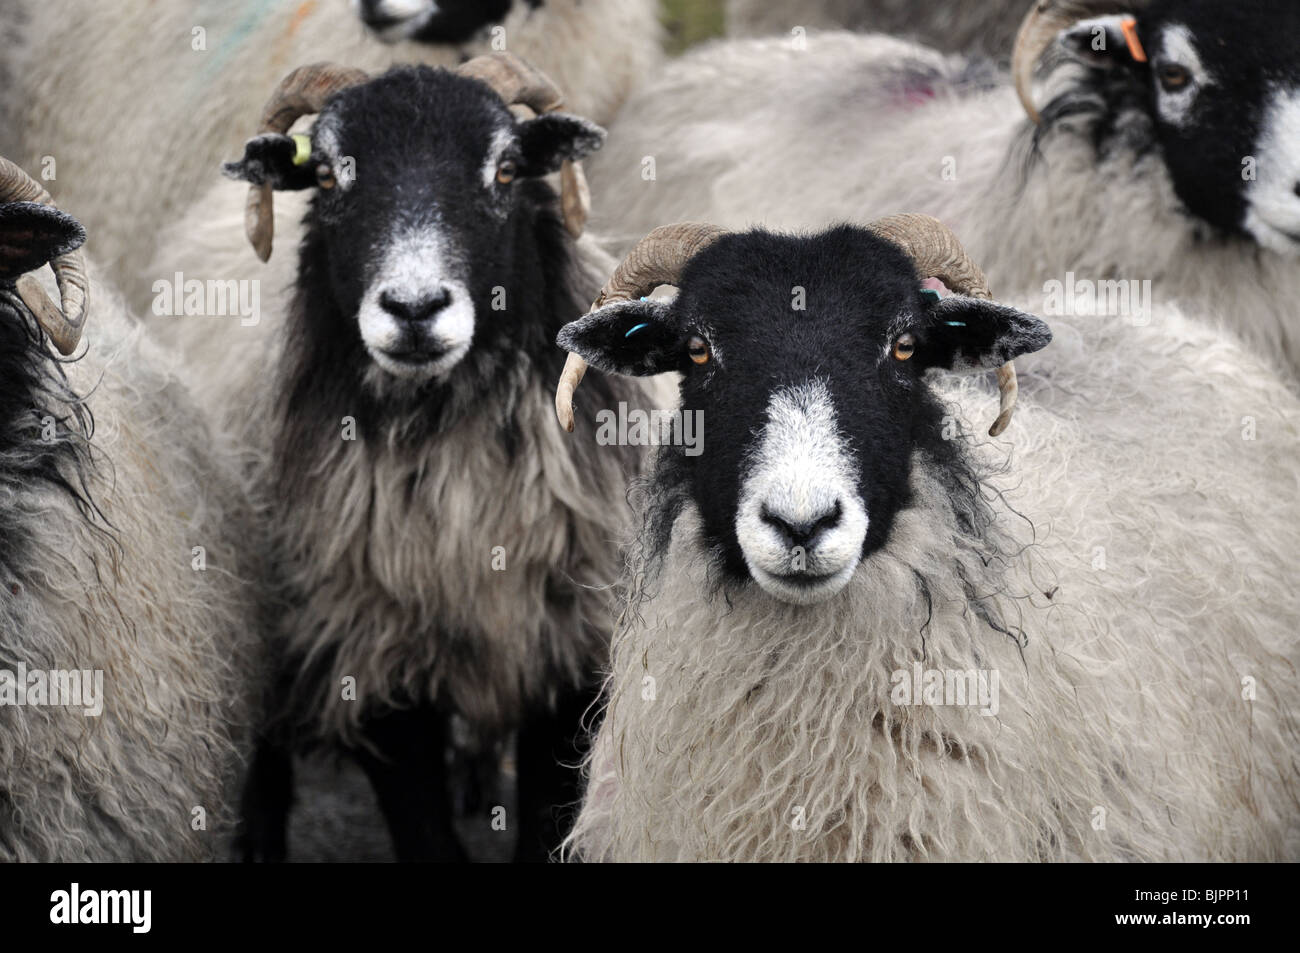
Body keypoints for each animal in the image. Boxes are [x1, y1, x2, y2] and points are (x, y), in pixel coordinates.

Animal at [170, 54, 658, 862]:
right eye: (328, 175)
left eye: (505, 169)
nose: (415, 308)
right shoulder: (372, 658)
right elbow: (424, 833)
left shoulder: (571, 653)